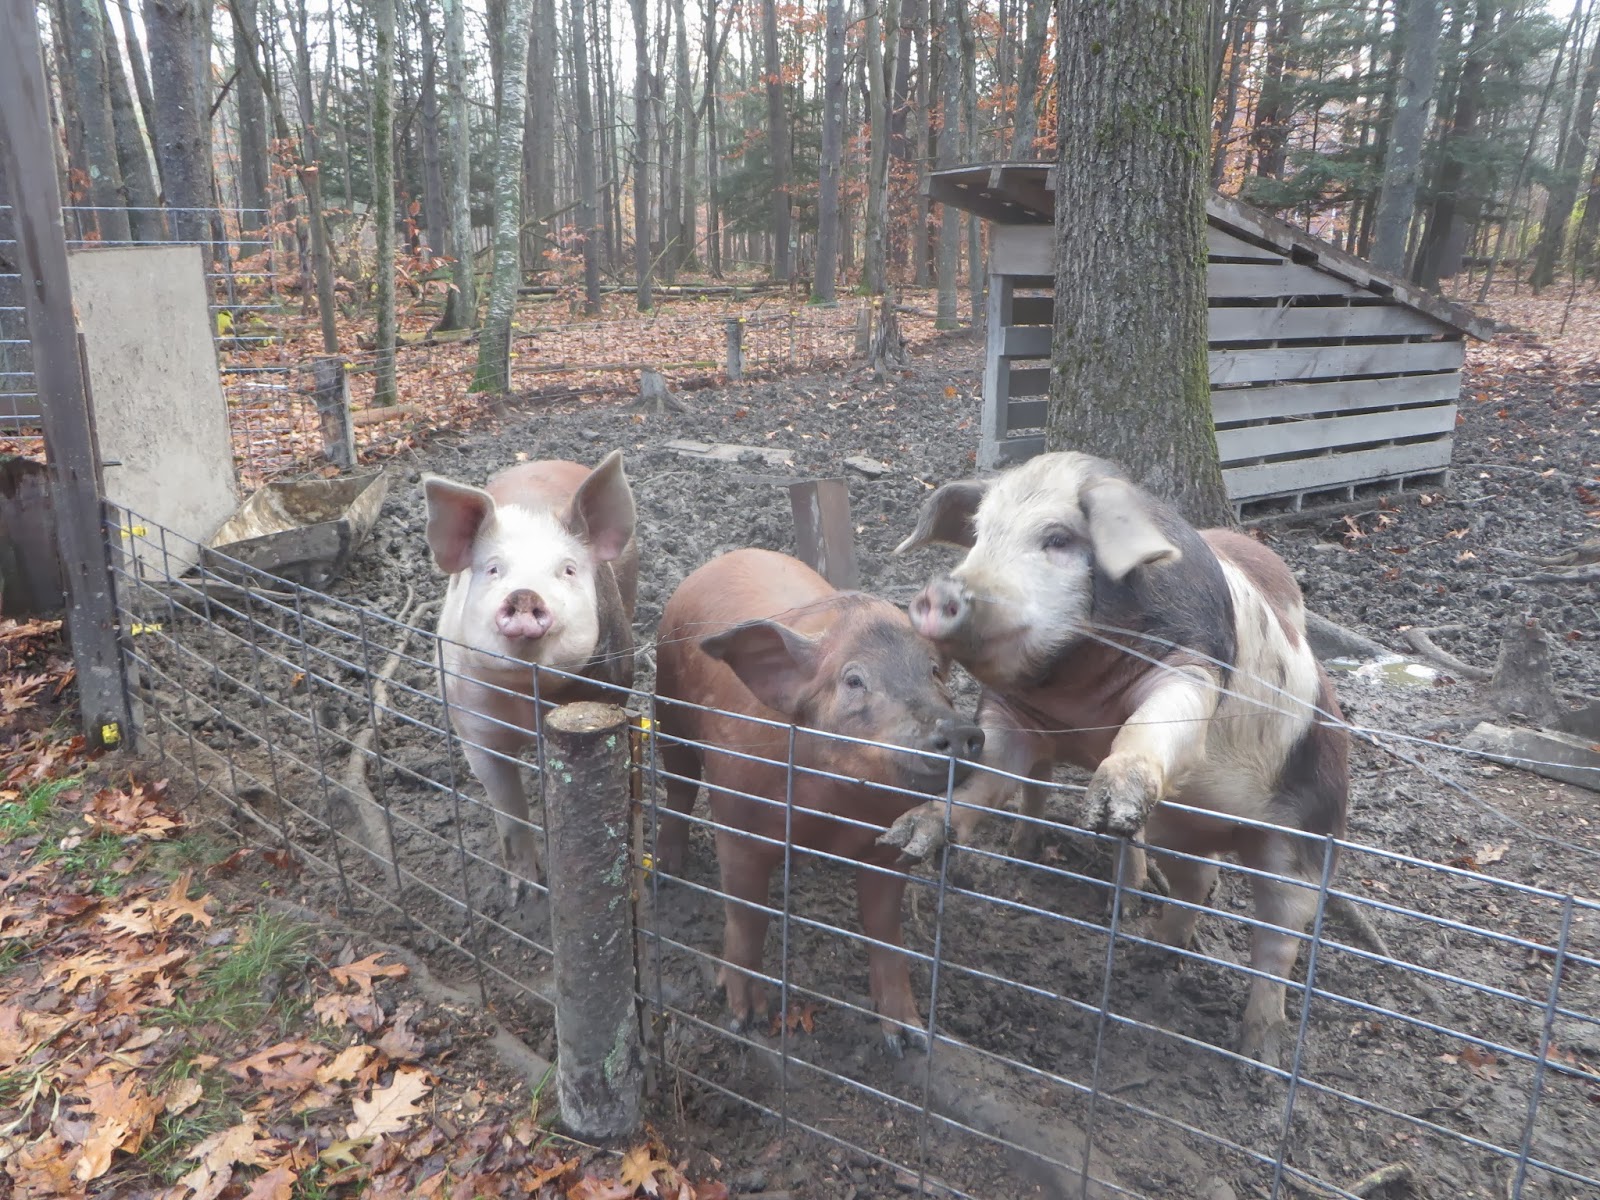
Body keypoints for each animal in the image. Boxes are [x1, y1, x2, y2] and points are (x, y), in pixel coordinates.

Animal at [423, 450, 638, 893]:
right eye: (493, 570)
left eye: (568, 570)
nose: (524, 594)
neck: (525, 693)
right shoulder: (472, 723)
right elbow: (507, 806)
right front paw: (522, 890)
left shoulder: (609, 690)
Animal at [652, 548, 985, 1054]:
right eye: (854, 680)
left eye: (934, 672)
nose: (961, 730)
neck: (831, 810)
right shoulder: (737, 822)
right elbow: (747, 913)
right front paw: (745, 1019)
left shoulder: (886, 843)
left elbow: (886, 930)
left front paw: (908, 1039)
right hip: (667, 704)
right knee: (680, 785)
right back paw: (669, 870)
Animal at [882, 450, 1349, 1065]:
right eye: (979, 535)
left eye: (1057, 539)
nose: (940, 591)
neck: (1080, 695)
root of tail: (1226, 827)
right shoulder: (1012, 719)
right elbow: (985, 780)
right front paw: (907, 835)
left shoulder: (1194, 663)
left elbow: (1155, 722)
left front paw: (1105, 805)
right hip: (1180, 830)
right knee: (1198, 881)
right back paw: (1154, 948)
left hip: (1306, 834)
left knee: (1279, 938)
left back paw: (1260, 1057)